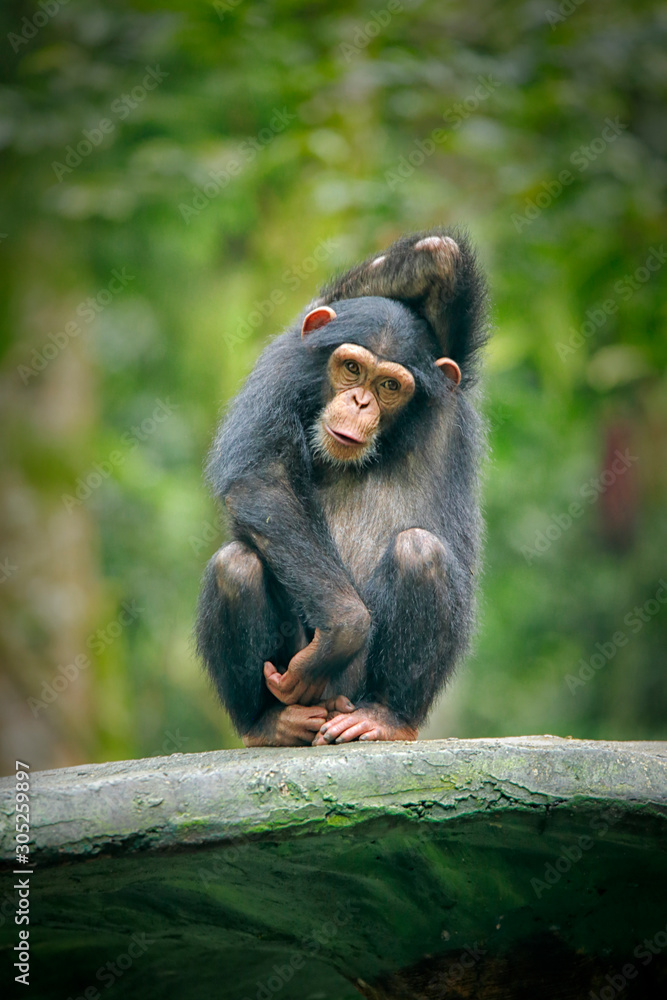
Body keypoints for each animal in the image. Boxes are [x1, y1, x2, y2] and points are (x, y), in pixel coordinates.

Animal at [195, 228, 488, 746]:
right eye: (351, 369)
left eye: (389, 386)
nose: (360, 402)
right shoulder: (285, 367)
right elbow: (265, 477)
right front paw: (344, 629)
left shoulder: (447, 391)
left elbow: (443, 267)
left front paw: (340, 638)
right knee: (235, 566)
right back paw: (268, 723)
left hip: (361, 689)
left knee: (420, 551)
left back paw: (386, 717)